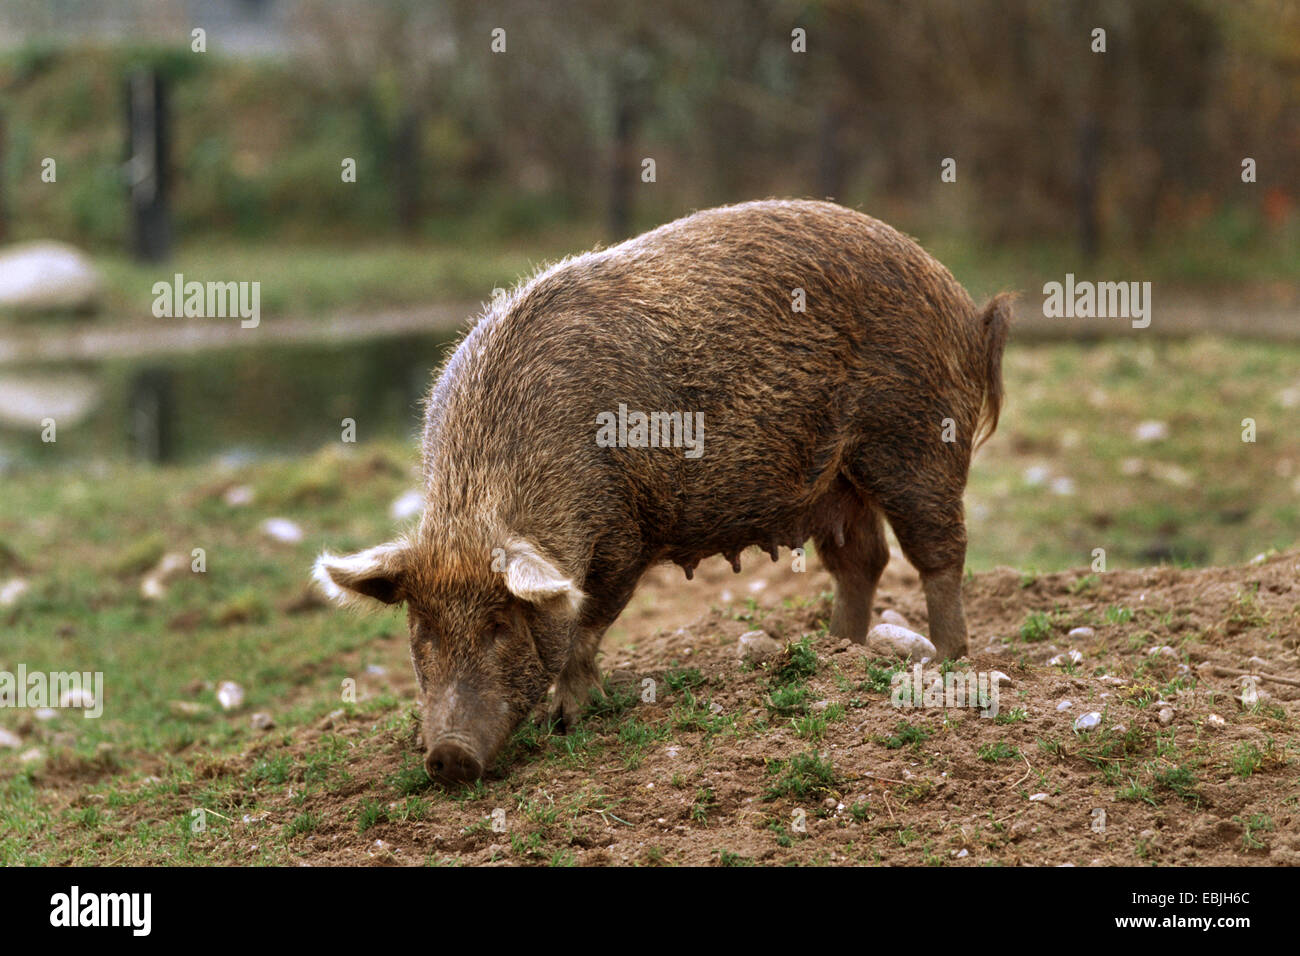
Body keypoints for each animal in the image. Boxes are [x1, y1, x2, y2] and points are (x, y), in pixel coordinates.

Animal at [313, 199, 1011, 783]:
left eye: (501, 623)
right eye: (421, 627)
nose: (449, 757)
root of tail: (963, 303)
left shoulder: (624, 533)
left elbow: (588, 622)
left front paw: (570, 718)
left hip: (916, 440)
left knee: (938, 552)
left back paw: (947, 661)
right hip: (835, 484)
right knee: (862, 561)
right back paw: (839, 649)